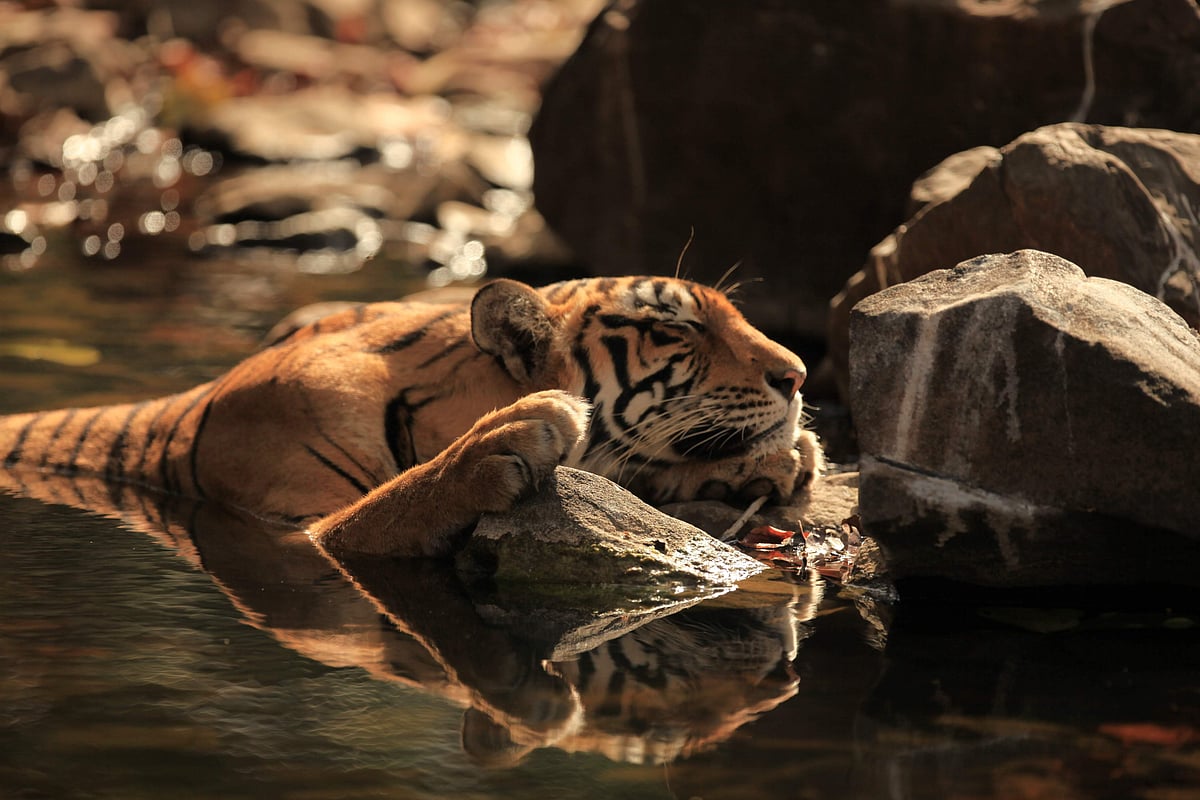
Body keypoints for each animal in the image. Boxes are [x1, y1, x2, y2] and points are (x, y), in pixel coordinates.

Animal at [0, 275, 822, 558]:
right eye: (675, 328)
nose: (799, 374)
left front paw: (782, 457)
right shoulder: (299, 527)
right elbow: (396, 500)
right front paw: (509, 436)